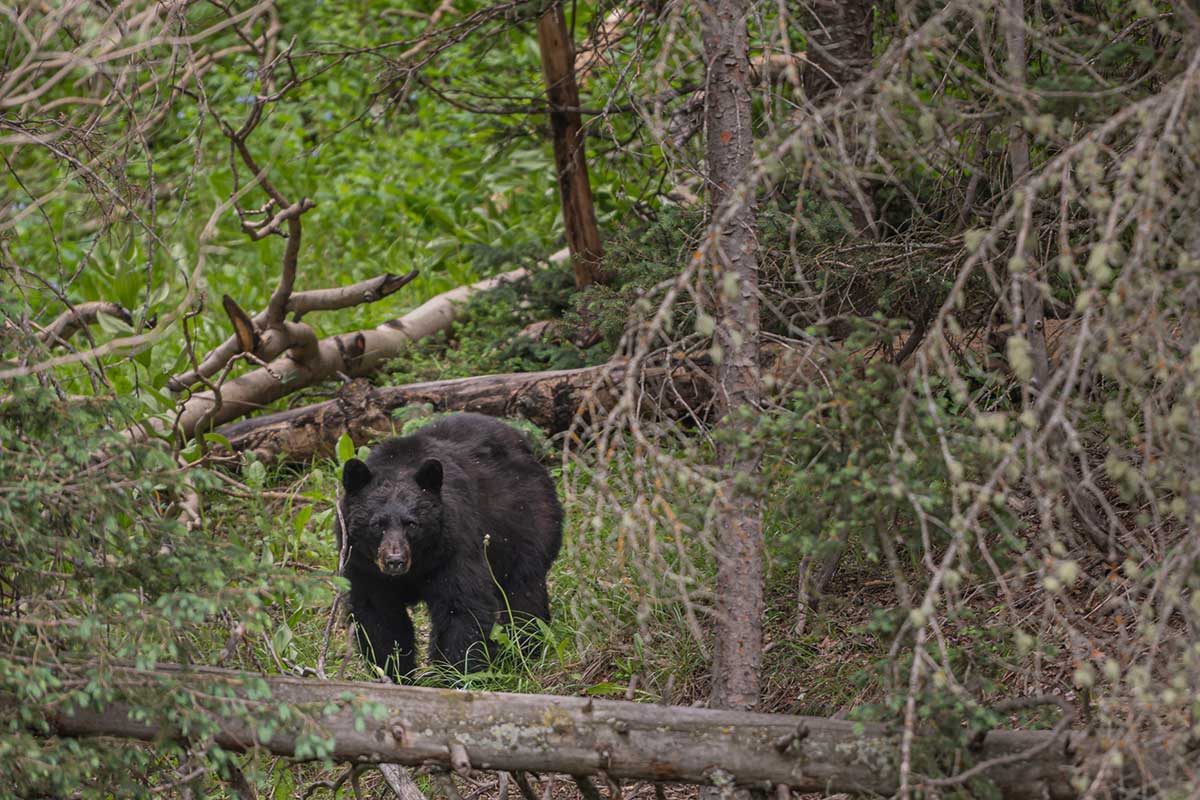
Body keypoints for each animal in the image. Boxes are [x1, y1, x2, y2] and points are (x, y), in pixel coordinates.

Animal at [337, 413, 563, 681]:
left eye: (412, 523)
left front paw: (457, 675)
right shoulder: (363, 565)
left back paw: (523, 649)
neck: (419, 563)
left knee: (523, 590)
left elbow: (462, 606)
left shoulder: (453, 547)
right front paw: (395, 673)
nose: (395, 561)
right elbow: (379, 615)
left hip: (526, 522)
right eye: (377, 524)